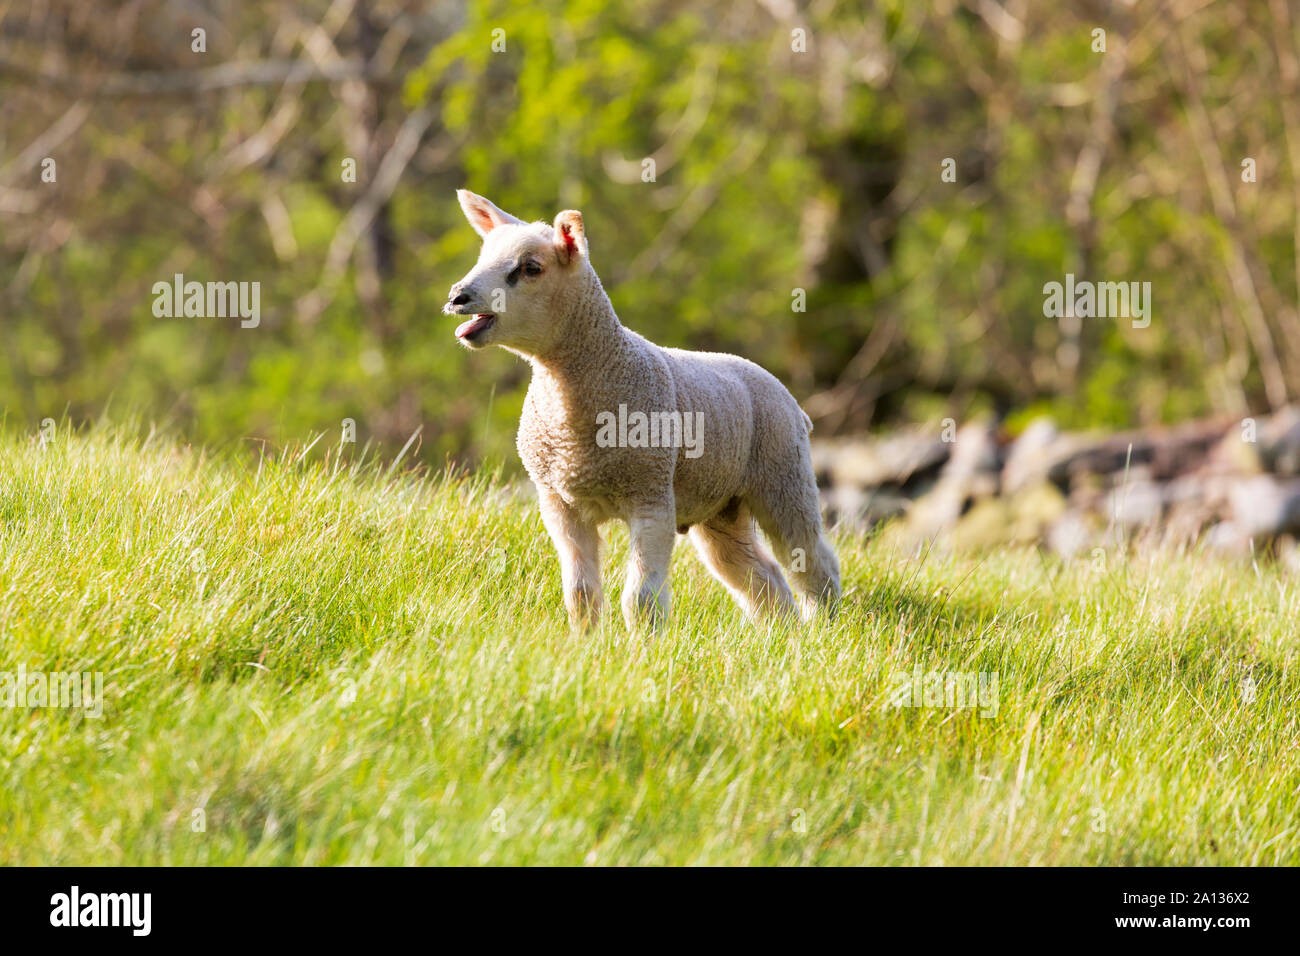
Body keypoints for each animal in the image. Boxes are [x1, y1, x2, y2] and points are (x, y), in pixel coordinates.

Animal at [444, 190, 841, 629]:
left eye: (531, 268)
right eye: (483, 256)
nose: (458, 296)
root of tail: (790, 400)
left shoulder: (651, 495)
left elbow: (642, 599)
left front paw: (642, 643)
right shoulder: (559, 503)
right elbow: (580, 593)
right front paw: (586, 640)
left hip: (784, 475)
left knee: (812, 560)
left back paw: (822, 626)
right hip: (720, 506)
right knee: (758, 573)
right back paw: (780, 633)